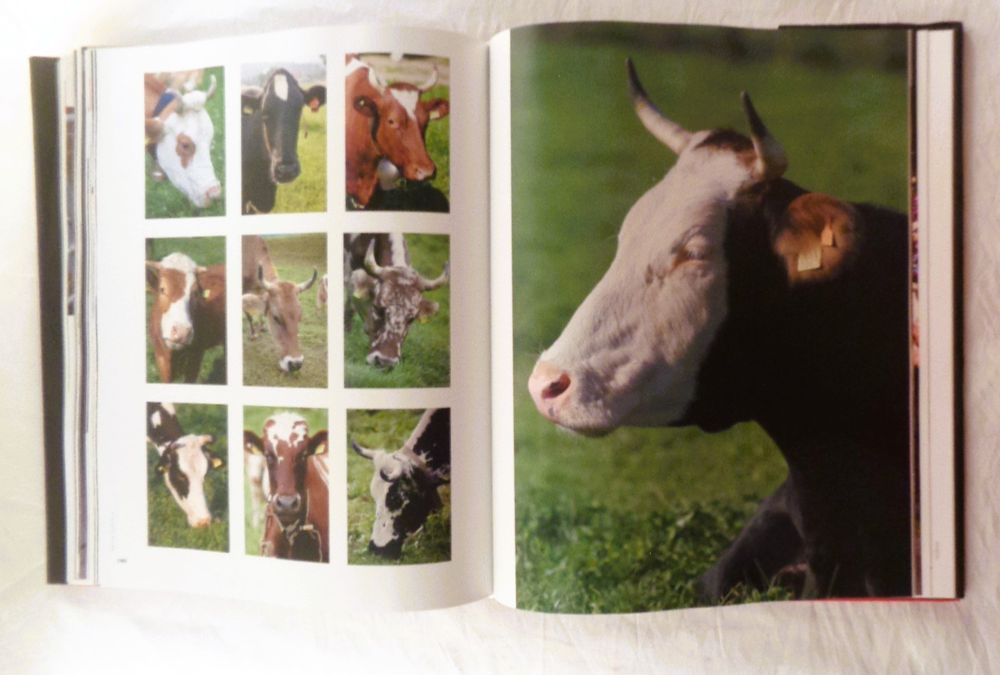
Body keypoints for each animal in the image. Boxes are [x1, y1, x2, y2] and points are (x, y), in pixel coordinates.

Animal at [242, 235, 318, 373]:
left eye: (300, 316)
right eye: (276, 317)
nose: (296, 364)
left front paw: (262, 326)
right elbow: (249, 314)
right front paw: (253, 333)